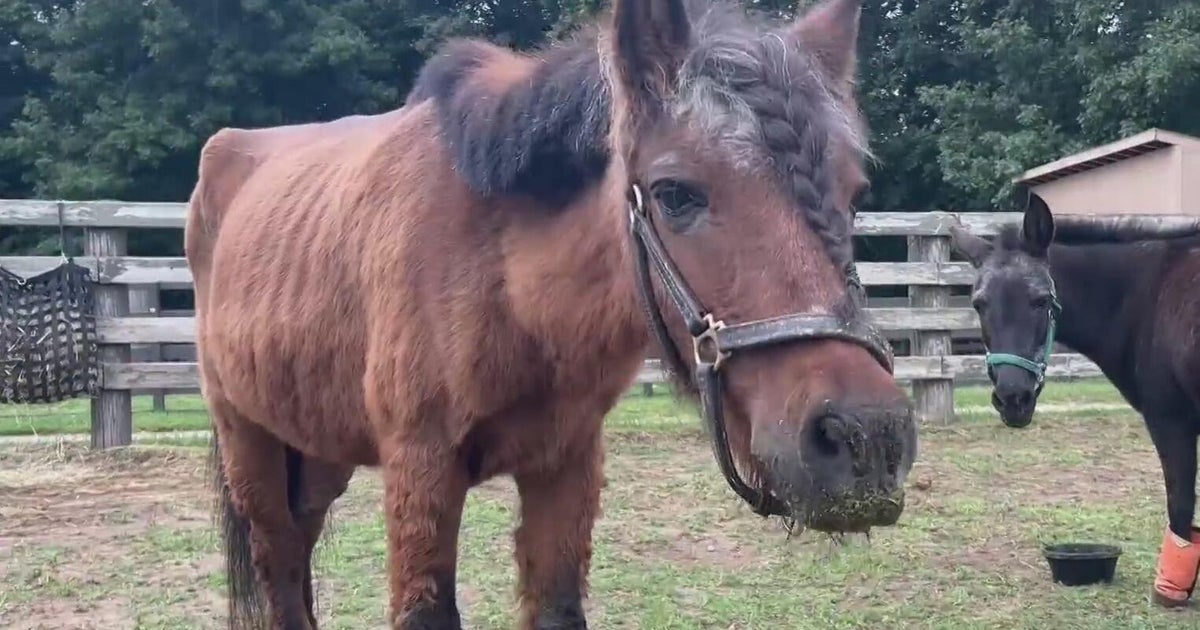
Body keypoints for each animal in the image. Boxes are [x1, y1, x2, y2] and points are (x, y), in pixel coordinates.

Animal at [184, 0, 918, 627]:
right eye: (675, 193)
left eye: (854, 193)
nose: (867, 437)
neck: (506, 287)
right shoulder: (421, 469)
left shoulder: (567, 465)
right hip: (246, 437)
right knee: (278, 563)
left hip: (316, 446)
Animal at [949, 192, 1200, 608]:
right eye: (978, 304)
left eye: (1040, 301)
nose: (1013, 398)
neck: (1149, 292)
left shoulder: (1171, 420)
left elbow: (1180, 504)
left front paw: (1171, 591)